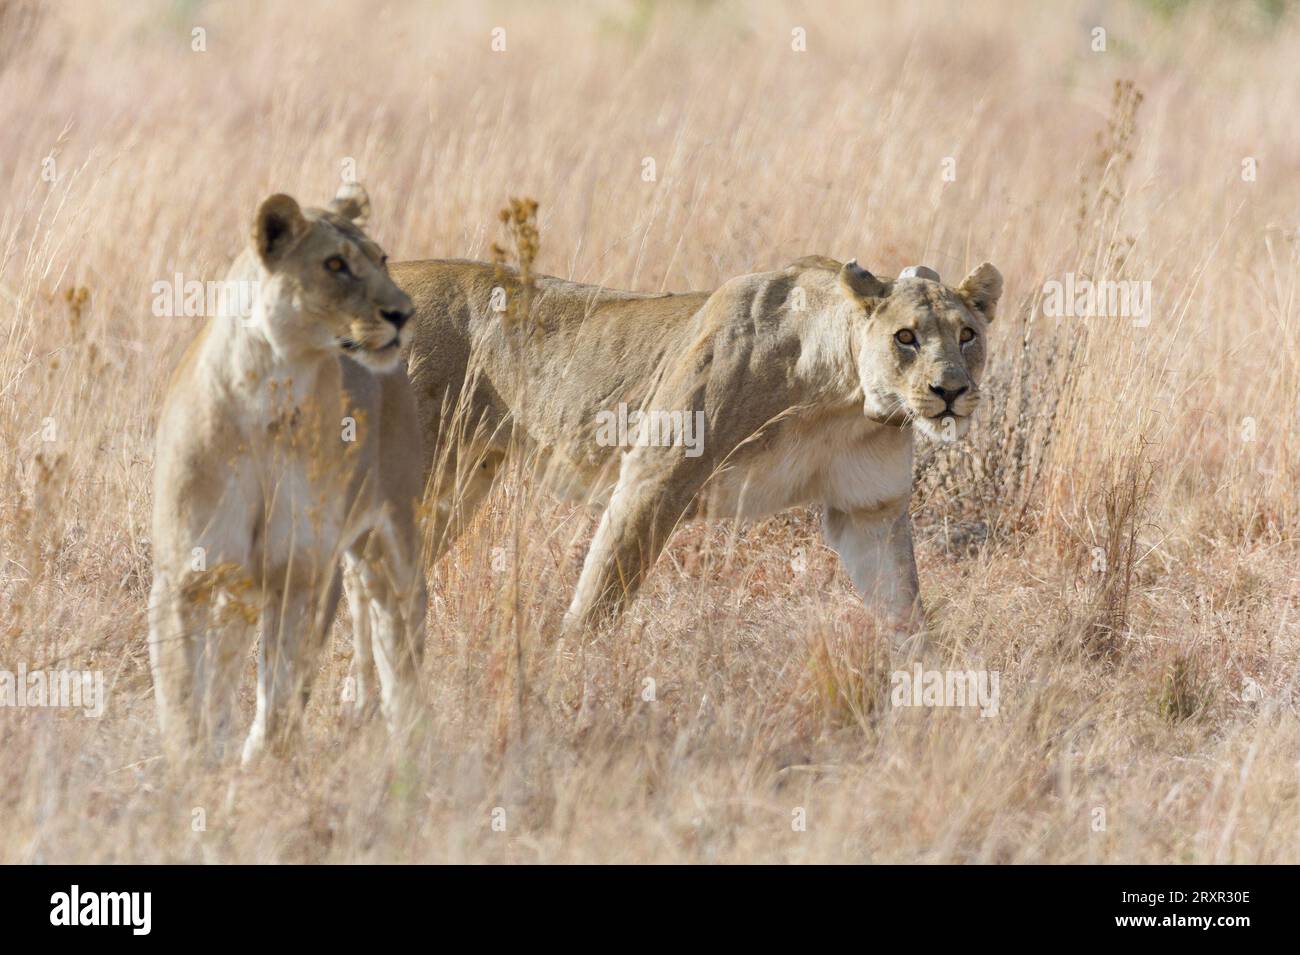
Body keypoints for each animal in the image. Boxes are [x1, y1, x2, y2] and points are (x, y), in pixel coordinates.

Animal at [148, 184, 427, 765]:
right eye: (335, 264)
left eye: (382, 259)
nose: (402, 313)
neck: (271, 391)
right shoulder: (184, 576)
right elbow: (184, 698)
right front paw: (194, 770)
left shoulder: (297, 572)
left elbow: (279, 692)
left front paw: (261, 765)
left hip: (392, 542)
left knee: (399, 635)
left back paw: (409, 738)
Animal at [394, 254, 1001, 647]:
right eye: (906, 337)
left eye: (967, 335)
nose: (951, 390)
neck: (841, 397)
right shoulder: (653, 477)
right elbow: (600, 598)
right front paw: (567, 677)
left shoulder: (868, 509)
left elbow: (905, 609)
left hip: (456, 488)